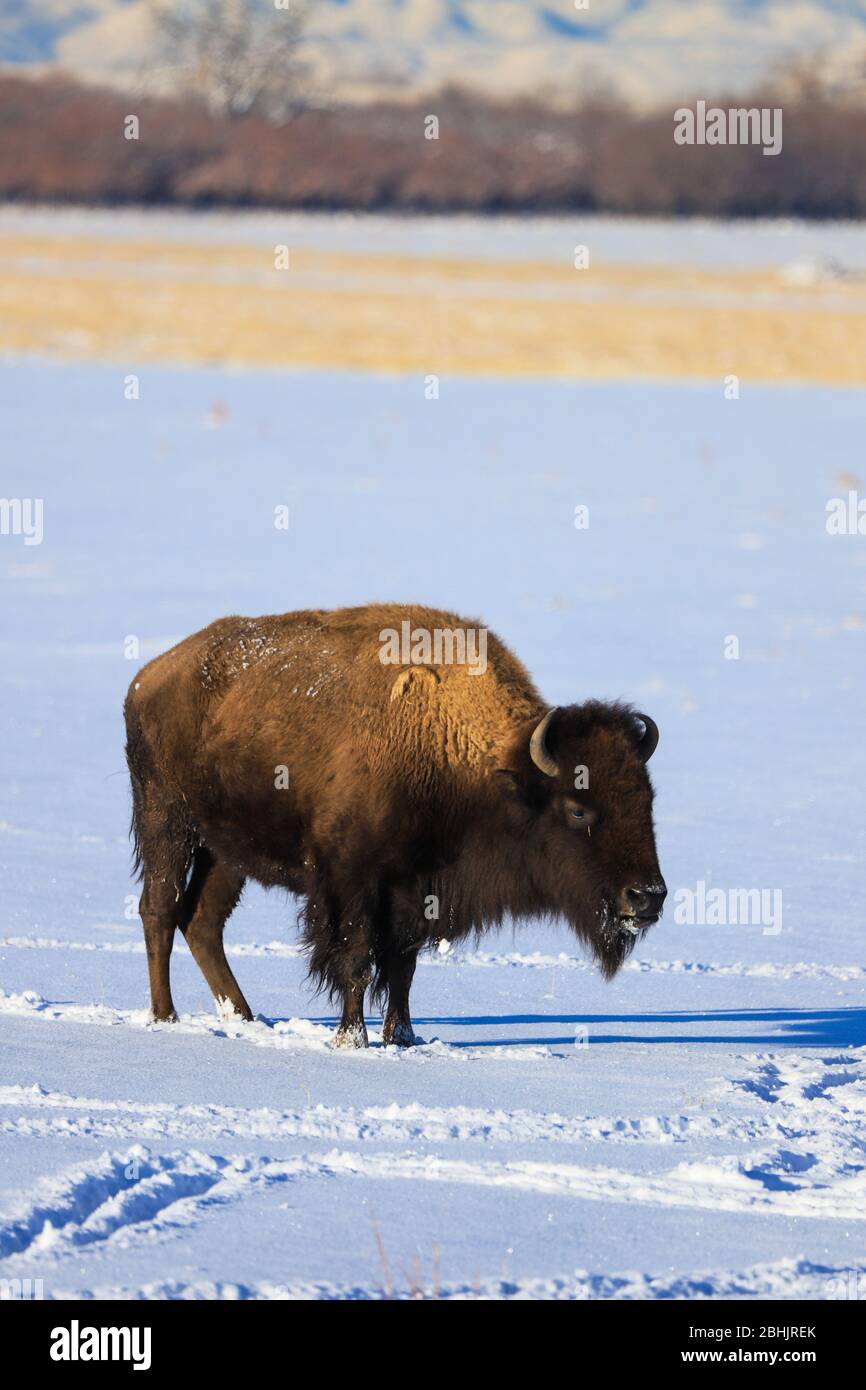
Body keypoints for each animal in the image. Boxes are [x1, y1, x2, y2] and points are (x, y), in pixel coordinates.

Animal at [125, 604, 665, 1047]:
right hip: (167, 822)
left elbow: (402, 967)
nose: (648, 897)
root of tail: (148, 677)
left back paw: (245, 1018)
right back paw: (166, 1017)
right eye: (577, 808)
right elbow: (356, 960)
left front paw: (402, 1037)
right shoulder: (351, 882)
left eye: (648, 799)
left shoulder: (416, 891)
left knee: (202, 921)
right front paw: (352, 1038)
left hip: (225, 852)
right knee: (159, 910)